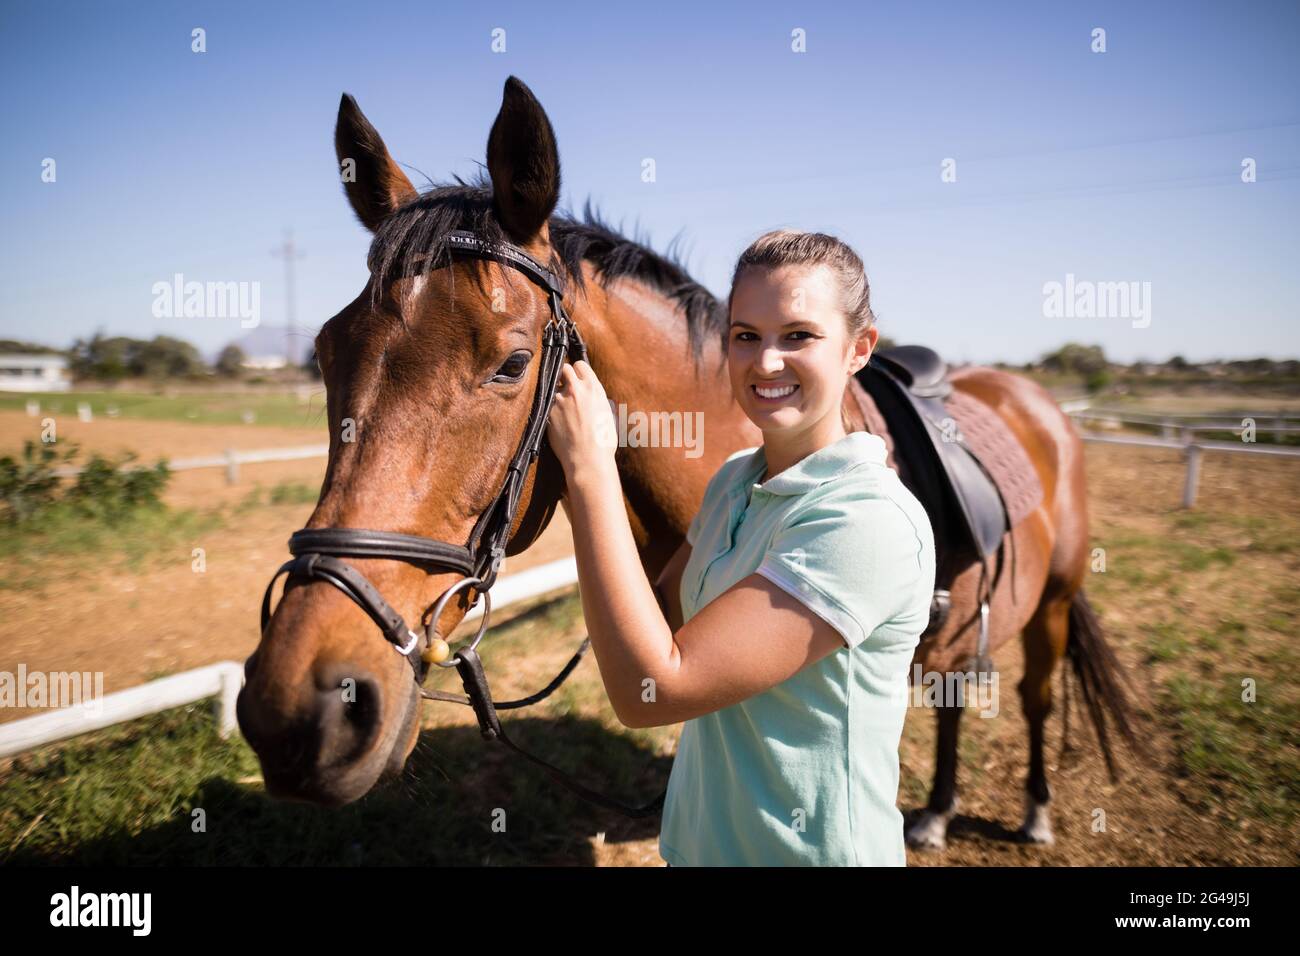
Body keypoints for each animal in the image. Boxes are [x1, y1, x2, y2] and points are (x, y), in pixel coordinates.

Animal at [237, 76, 1142, 852]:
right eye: (326, 351)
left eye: (511, 362)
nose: (300, 711)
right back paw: (938, 812)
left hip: (1054, 599)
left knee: (1031, 696)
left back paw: (1032, 813)